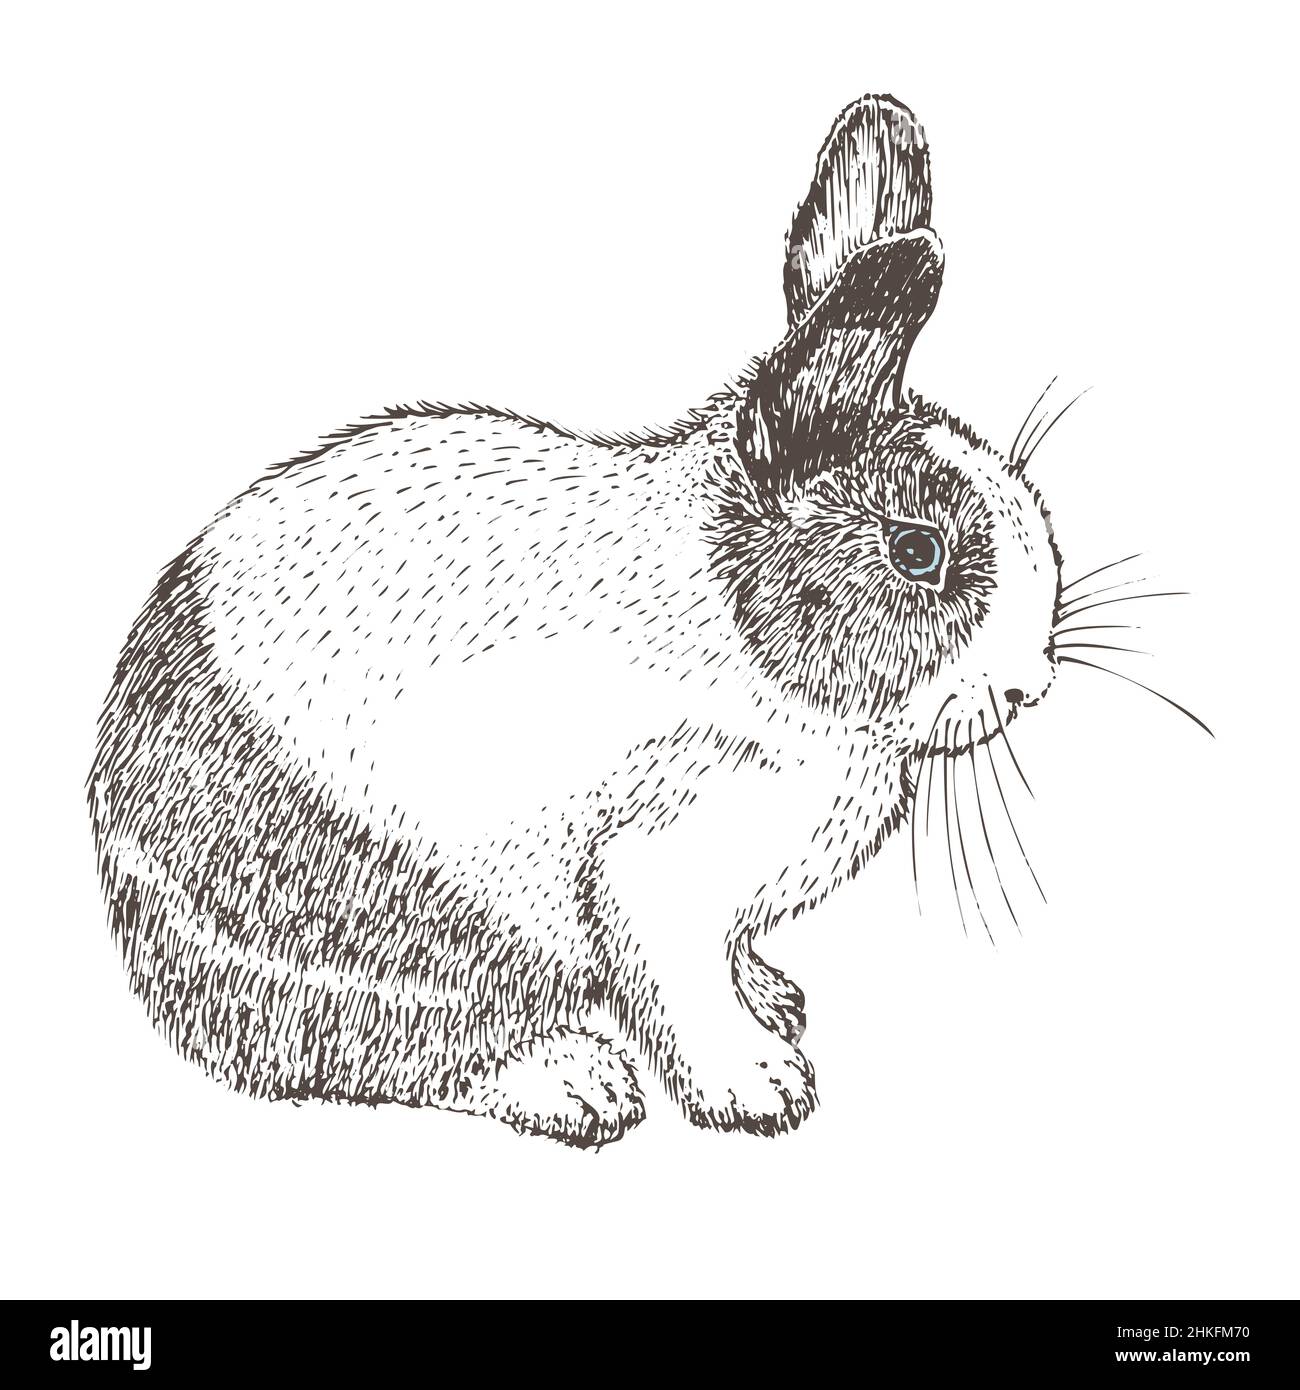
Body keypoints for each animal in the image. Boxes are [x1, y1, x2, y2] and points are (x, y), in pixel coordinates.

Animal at [88, 93, 1061, 1147]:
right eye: (917, 551)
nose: (1030, 682)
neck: (747, 639)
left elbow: (726, 964)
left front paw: (772, 1000)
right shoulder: (659, 864)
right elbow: (682, 989)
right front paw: (761, 1086)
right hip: (416, 944)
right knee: (395, 1052)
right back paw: (575, 1083)